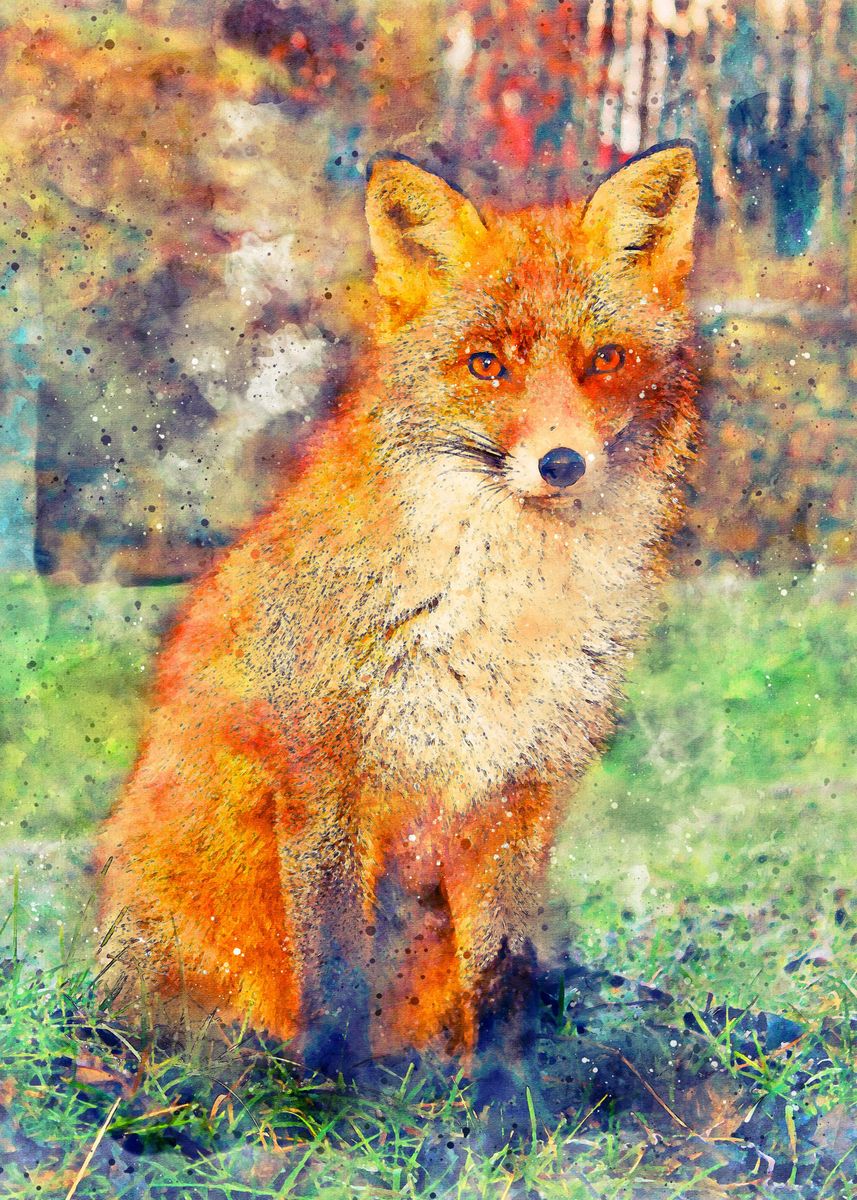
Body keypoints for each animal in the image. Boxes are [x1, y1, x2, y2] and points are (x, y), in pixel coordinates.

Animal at [96, 143, 701, 1076]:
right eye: (486, 364)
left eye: (605, 359)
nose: (561, 463)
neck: (509, 615)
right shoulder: (326, 780)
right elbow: (337, 971)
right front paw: (333, 1095)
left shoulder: (518, 790)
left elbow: (501, 977)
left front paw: (510, 1093)